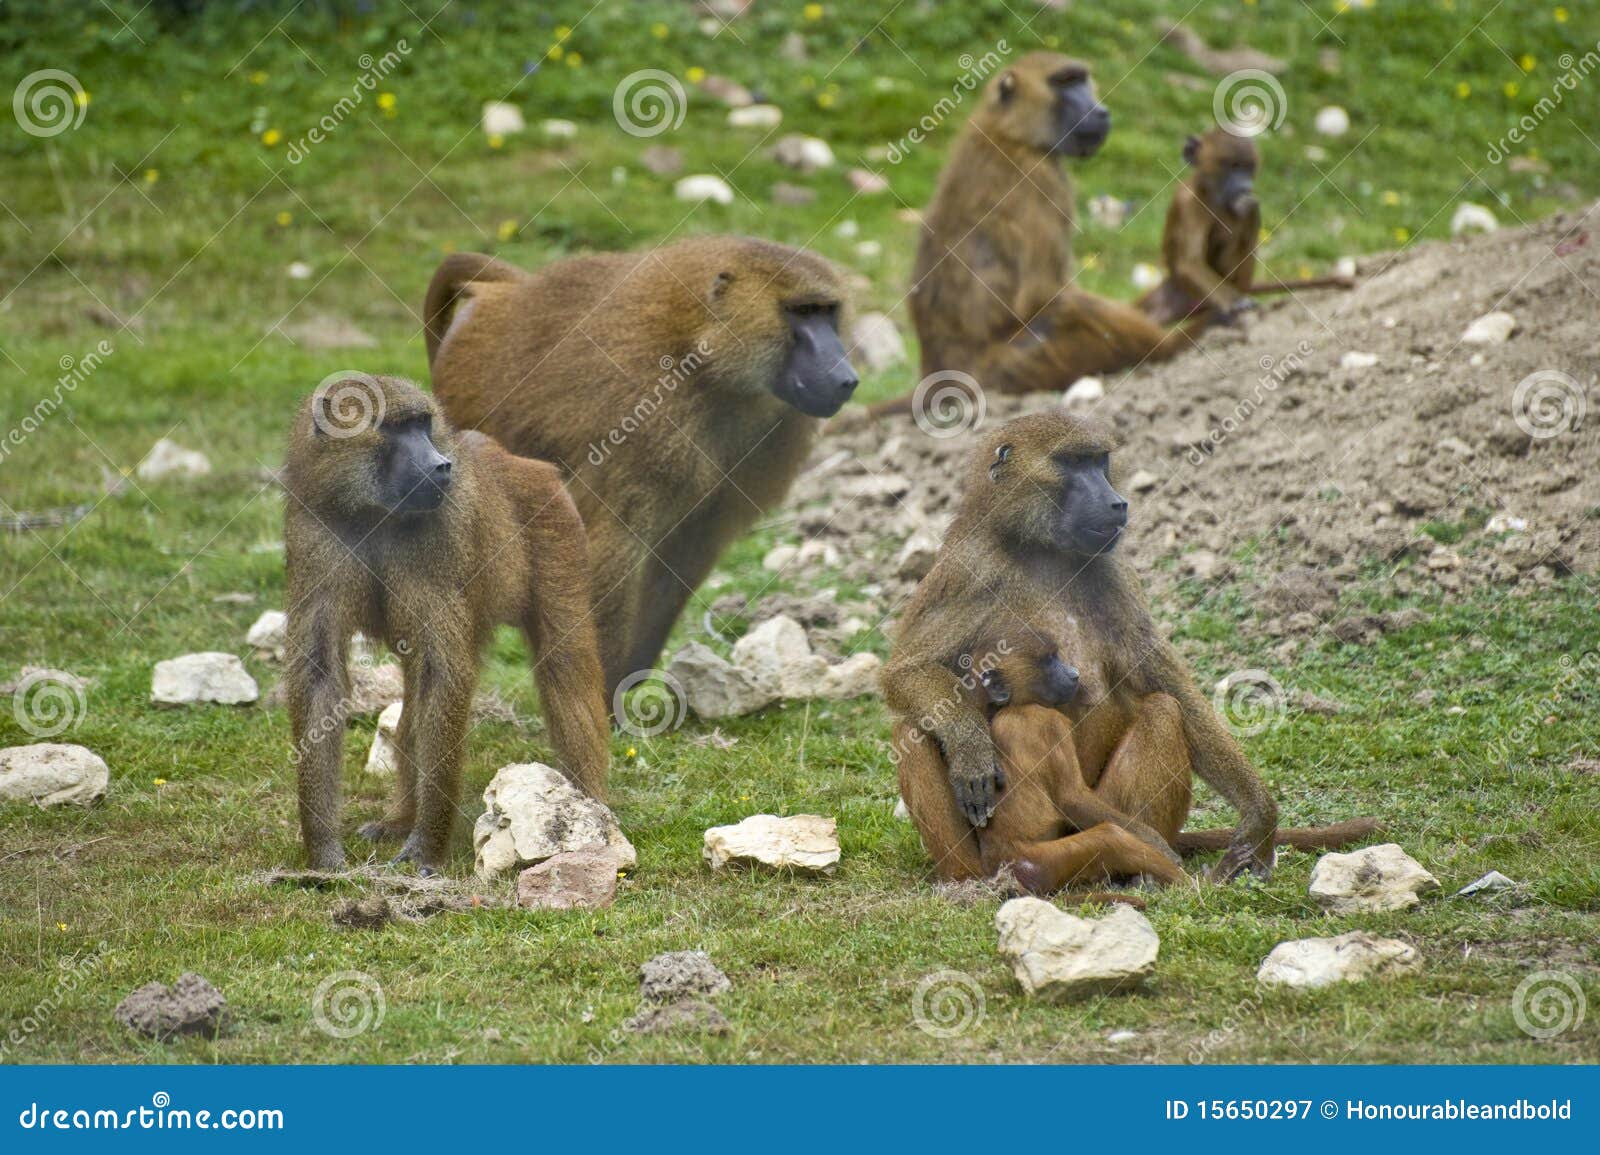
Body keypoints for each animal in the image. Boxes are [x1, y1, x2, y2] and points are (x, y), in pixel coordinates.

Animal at [283, 374, 610, 873]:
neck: (374, 513)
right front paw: (324, 851)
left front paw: (425, 848)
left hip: (557, 527)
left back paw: (589, 809)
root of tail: (516, 461)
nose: (442, 466)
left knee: (566, 670)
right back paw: (399, 819)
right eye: (397, 428)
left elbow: (444, 673)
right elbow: (320, 674)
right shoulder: (314, 533)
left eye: (423, 424)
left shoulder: (442, 538)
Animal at [424, 237, 857, 700]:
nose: (846, 378)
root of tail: (500, 296)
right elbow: (612, 547)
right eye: (801, 312)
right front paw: (604, 695)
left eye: (827, 311)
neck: (705, 359)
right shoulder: (645, 417)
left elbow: (685, 555)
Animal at [868, 53, 1200, 419]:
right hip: (1018, 363)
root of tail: (940, 375)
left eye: (1080, 79)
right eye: (1064, 82)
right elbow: (1043, 294)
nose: (1101, 112)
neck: (1008, 132)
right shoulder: (1044, 179)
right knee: (1072, 309)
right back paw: (1180, 339)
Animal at [882, 411, 1377, 894]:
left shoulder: (1112, 568)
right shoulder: (966, 568)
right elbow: (905, 670)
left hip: (1100, 810)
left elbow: (1166, 683)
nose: (1117, 502)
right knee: (912, 728)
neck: (1042, 549)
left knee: (1162, 711)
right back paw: (966, 881)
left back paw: (1139, 872)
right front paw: (970, 747)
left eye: (1099, 462)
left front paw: (1258, 818)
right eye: (1071, 463)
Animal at [1137, 130, 1356, 328]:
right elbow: (1189, 263)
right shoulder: (1187, 203)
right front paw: (1235, 303)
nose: (1245, 186)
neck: (1212, 197)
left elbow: (1249, 212)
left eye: (1247, 168)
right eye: (1232, 166)